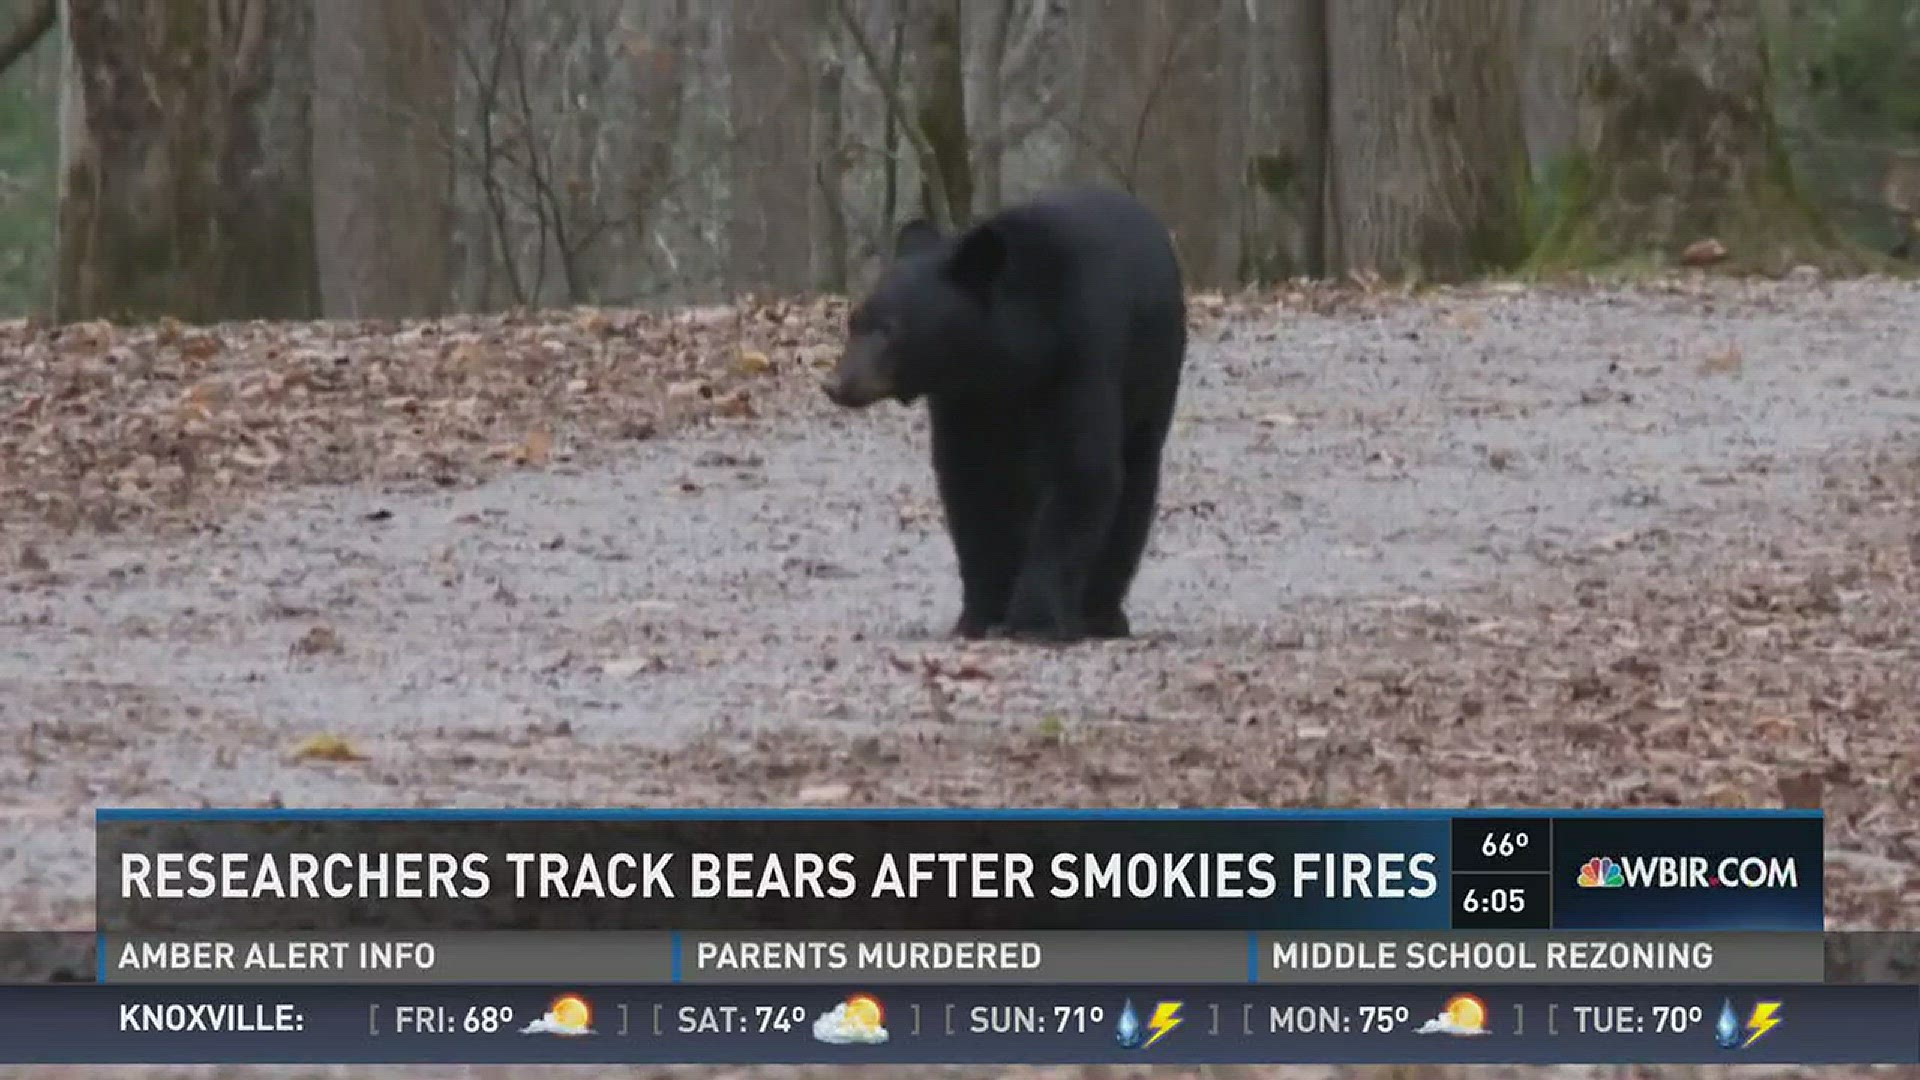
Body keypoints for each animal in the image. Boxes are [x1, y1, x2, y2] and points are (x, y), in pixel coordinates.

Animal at [822, 187, 1187, 643]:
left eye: (889, 329)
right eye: (854, 321)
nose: (835, 384)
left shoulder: (1082, 354)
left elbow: (1082, 471)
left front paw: (1036, 620)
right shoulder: (964, 399)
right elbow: (969, 485)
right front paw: (979, 614)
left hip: (1155, 373)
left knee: (1135, 484)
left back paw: (1101, 614)